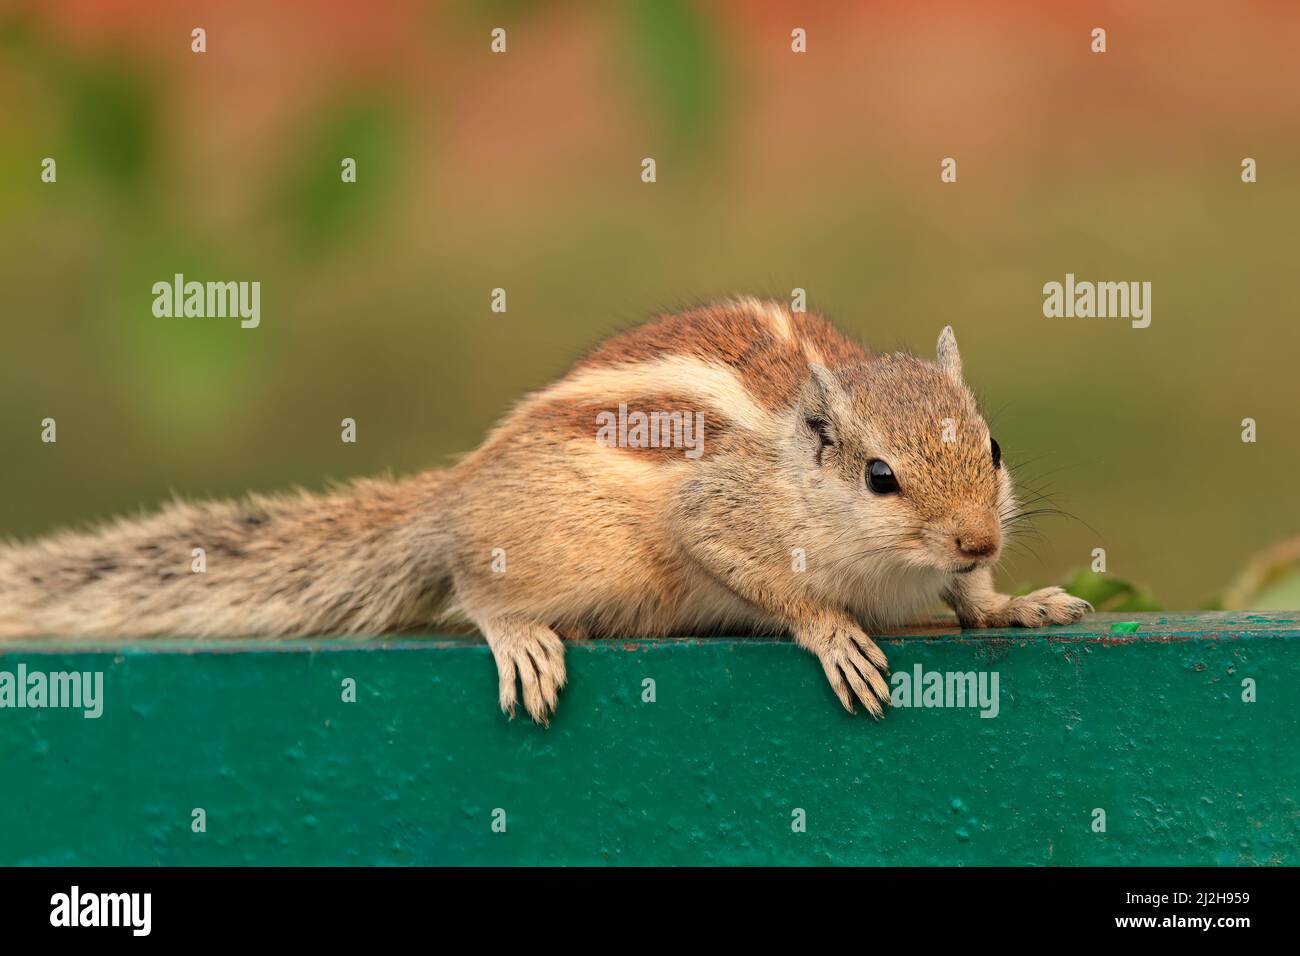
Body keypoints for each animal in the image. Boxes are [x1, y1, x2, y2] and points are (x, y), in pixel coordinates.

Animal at [0, 297, 1090, 722]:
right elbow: (757, 573)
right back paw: (518, 632)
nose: (977, 535)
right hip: (566, 554)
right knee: (473, 583)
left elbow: (971, 598)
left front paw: (1012, 600)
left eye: (993, 450)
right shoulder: (719, 514)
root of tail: (458, 490)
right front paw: (832, 633)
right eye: (878, 478)